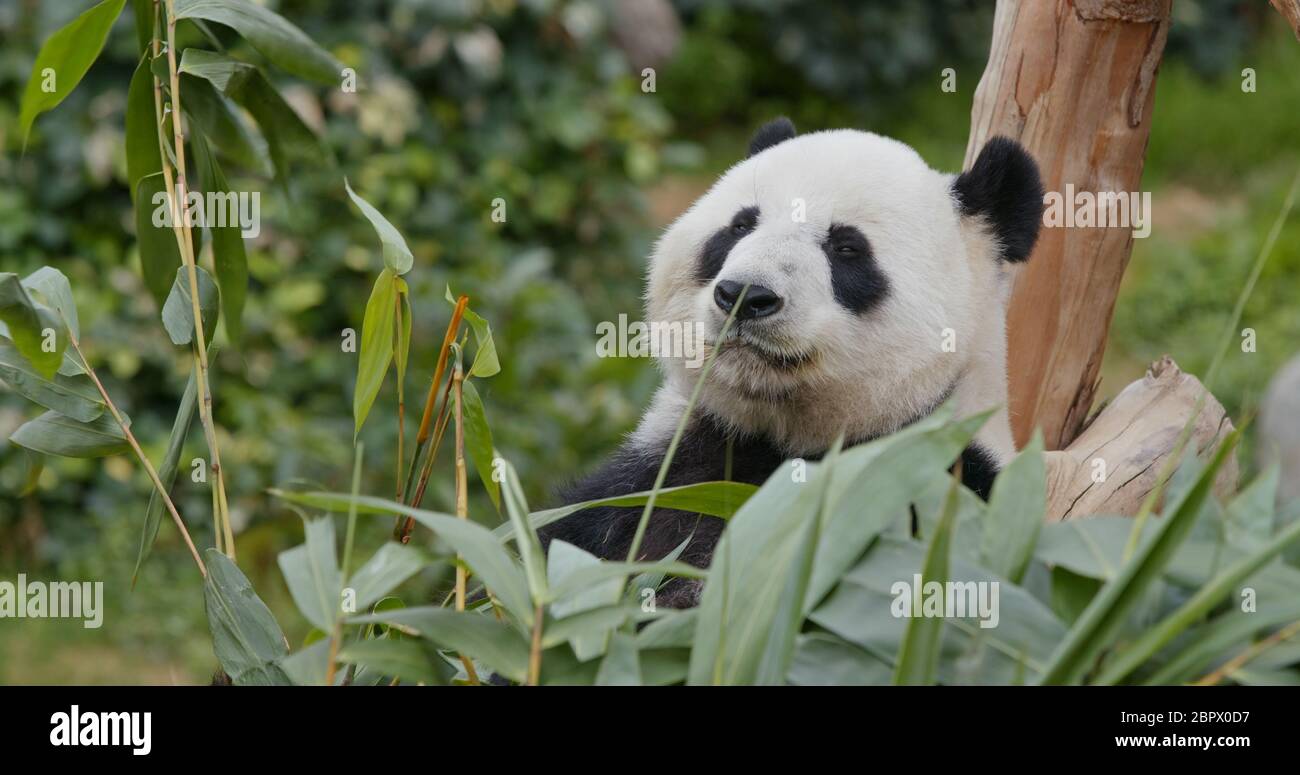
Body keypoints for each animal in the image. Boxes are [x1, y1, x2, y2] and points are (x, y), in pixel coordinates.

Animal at [540, 118, 1044, 607]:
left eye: (846, 247)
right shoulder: (659, 472)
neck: (784, 435)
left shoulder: (937, 489)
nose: (744, 295)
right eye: (741, 225)